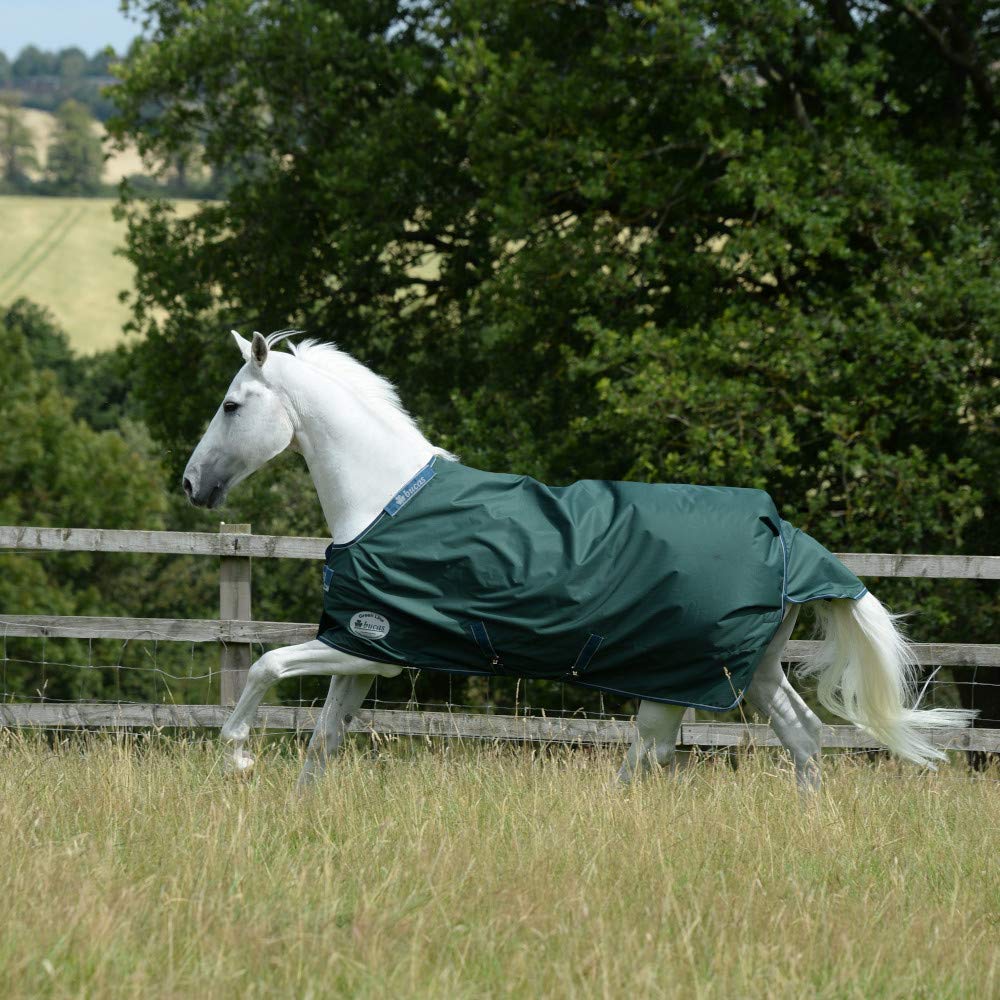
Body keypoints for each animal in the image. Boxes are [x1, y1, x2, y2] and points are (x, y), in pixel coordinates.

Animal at [183, 330, 974, 791]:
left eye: (230, 405)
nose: (192, 485)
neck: (383, 500)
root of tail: (786, 537)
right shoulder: (367, 654)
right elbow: (322, 744)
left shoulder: (365, 645)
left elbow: (265, 666)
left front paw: (239, 755)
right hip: (749, 670)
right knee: (803, 738)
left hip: (670, 682)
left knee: (645, 761)